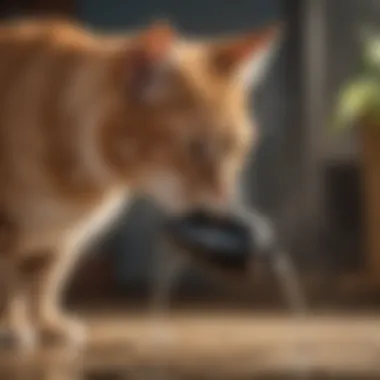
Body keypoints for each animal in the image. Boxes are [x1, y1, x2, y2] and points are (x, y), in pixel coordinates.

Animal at [0, 17, 282, 348]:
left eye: (238, 147)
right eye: (196, 148)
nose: (225, 199)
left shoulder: (64, 238)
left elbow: (46, 280)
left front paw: (48, 324)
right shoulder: (11, 228)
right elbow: (8, 281)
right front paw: (9, 327)